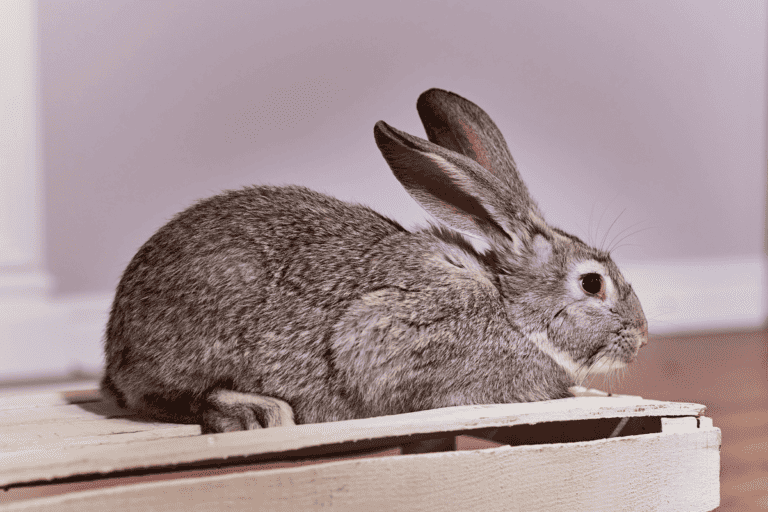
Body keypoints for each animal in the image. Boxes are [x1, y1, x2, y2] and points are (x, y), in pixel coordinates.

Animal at [101, 88, 648, 434]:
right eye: (593, 284)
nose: (641, 339)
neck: (513, 312)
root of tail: (116, 349)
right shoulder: (384, 332)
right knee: (174, 399)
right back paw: (258, 414)